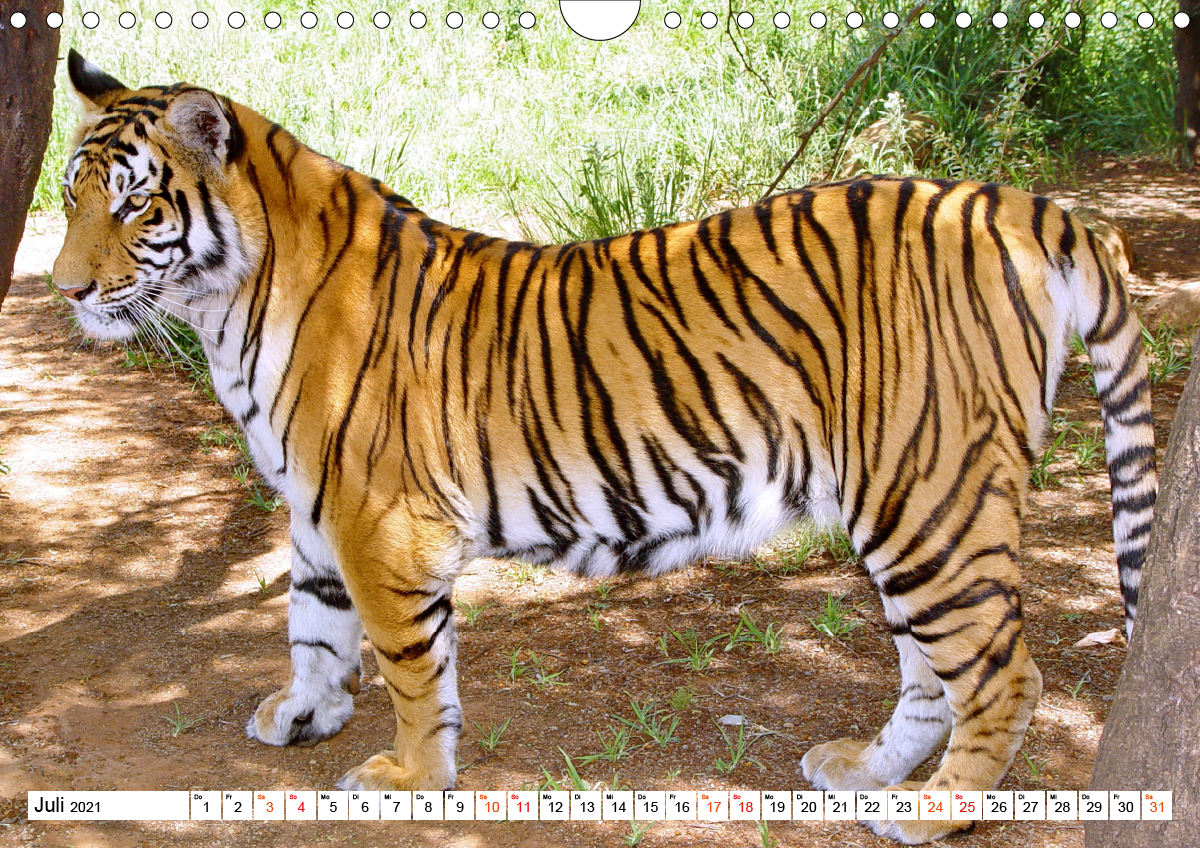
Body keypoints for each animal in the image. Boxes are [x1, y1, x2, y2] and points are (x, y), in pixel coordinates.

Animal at [52, 50, 1156, 843]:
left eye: (136, 202)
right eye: (69, 195)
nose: (65, 288)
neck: (223, 307)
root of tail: (1012, 199)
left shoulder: (383, 523)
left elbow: (410, 665)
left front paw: (412, 776)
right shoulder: (320, 510)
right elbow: (312, 626)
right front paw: (303, 716)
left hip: (931, 495)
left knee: (1004, 673)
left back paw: (929, 813)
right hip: (908, 509)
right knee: (932, 672)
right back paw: (865, 773)